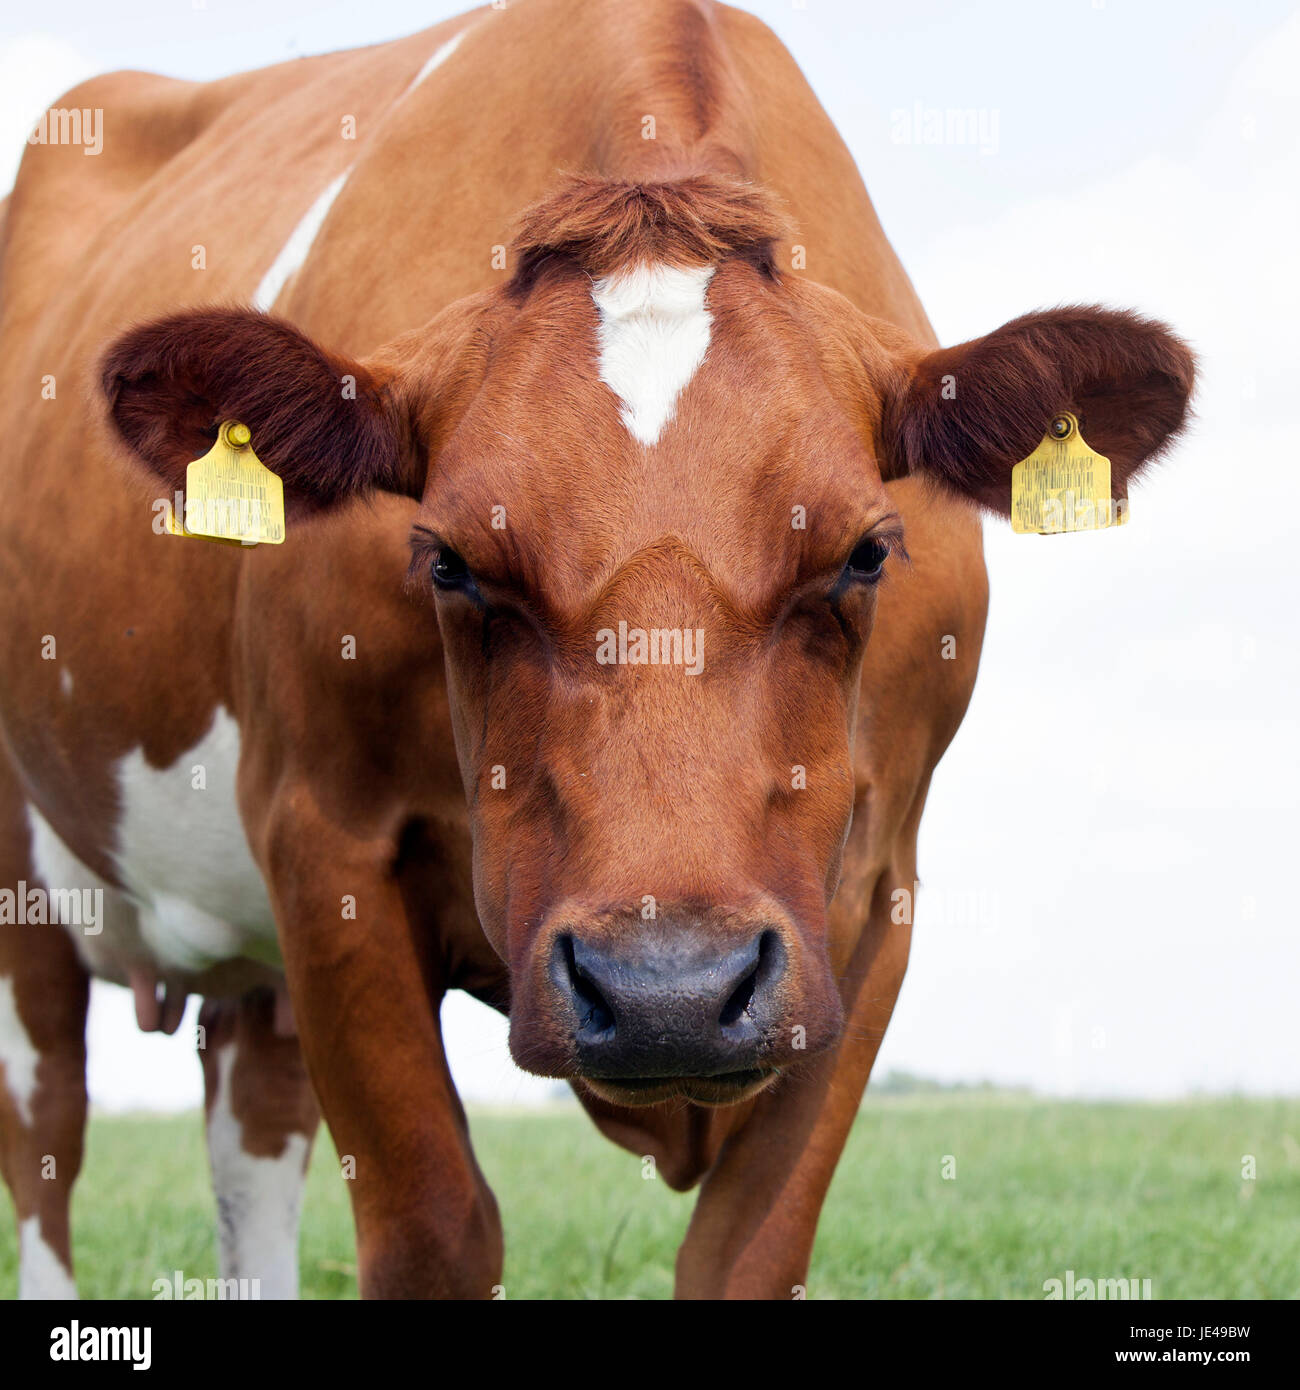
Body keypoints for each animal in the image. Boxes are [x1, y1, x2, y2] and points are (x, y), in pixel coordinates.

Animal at [0, 0, 1193, 1300]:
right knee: (49, 1132)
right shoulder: (322, 836)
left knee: (251, 1136)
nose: (667, 989)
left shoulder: (878, 886)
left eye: (867, 553)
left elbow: (748, 1242)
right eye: (450, 561)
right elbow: (434, 1225)